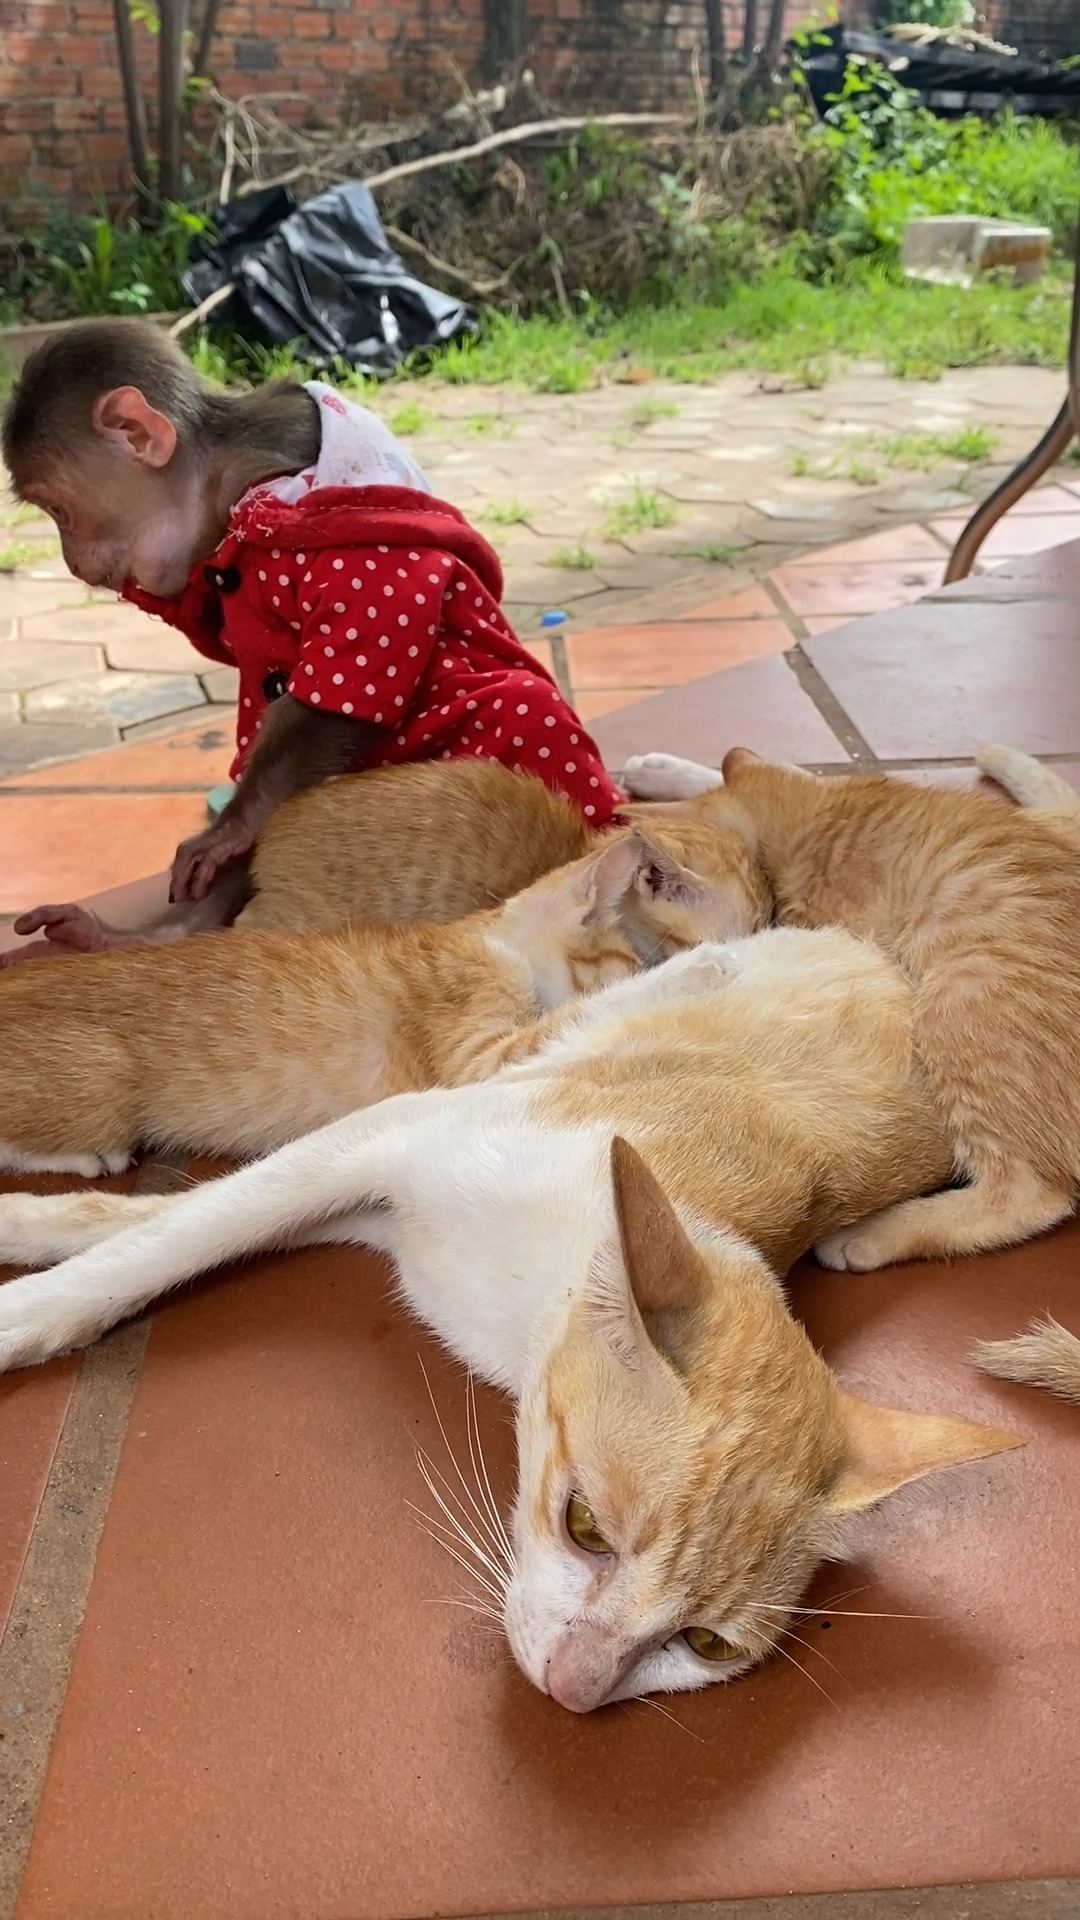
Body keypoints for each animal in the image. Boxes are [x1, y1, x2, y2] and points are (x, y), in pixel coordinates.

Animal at [1, 318, 623, 964]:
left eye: (58, 510)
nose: (72, 563)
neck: (237, 495)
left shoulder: (348, 541)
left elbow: (361, 647)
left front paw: (230, 827)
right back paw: (159, 933)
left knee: (520, 700)